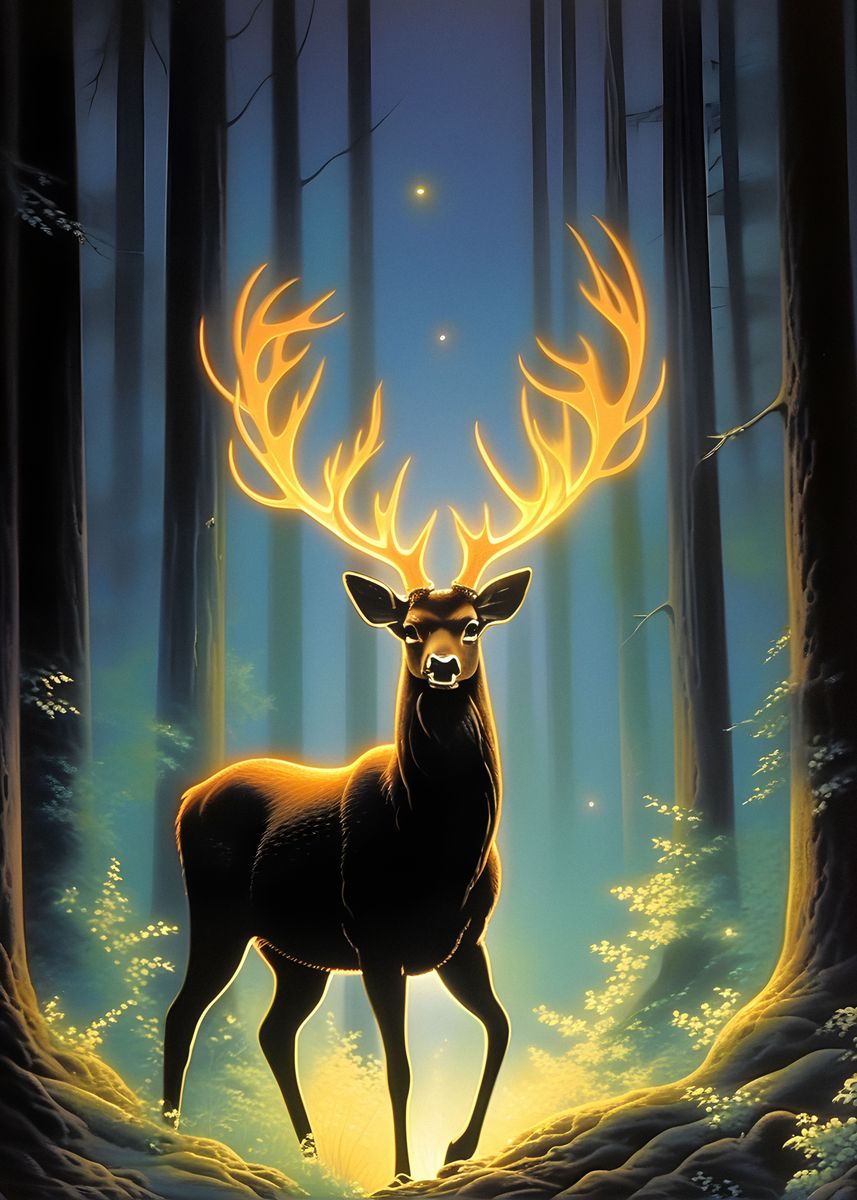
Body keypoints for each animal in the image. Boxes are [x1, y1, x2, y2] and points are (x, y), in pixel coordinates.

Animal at [161, 221, 665, 1186]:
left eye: (471, 624)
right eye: (403, 628)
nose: (437, 667)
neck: (437, 852)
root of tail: (190, 793)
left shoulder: (462, 945)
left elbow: (501, 1028)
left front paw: (458, 1147)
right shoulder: (378, 941)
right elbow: (397, 1065)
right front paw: (400, 1170)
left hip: (293, 949)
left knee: (272, 1030)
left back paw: (310, 1154)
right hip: (221, 913)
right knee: (184, 1013)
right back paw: (169, 1135)